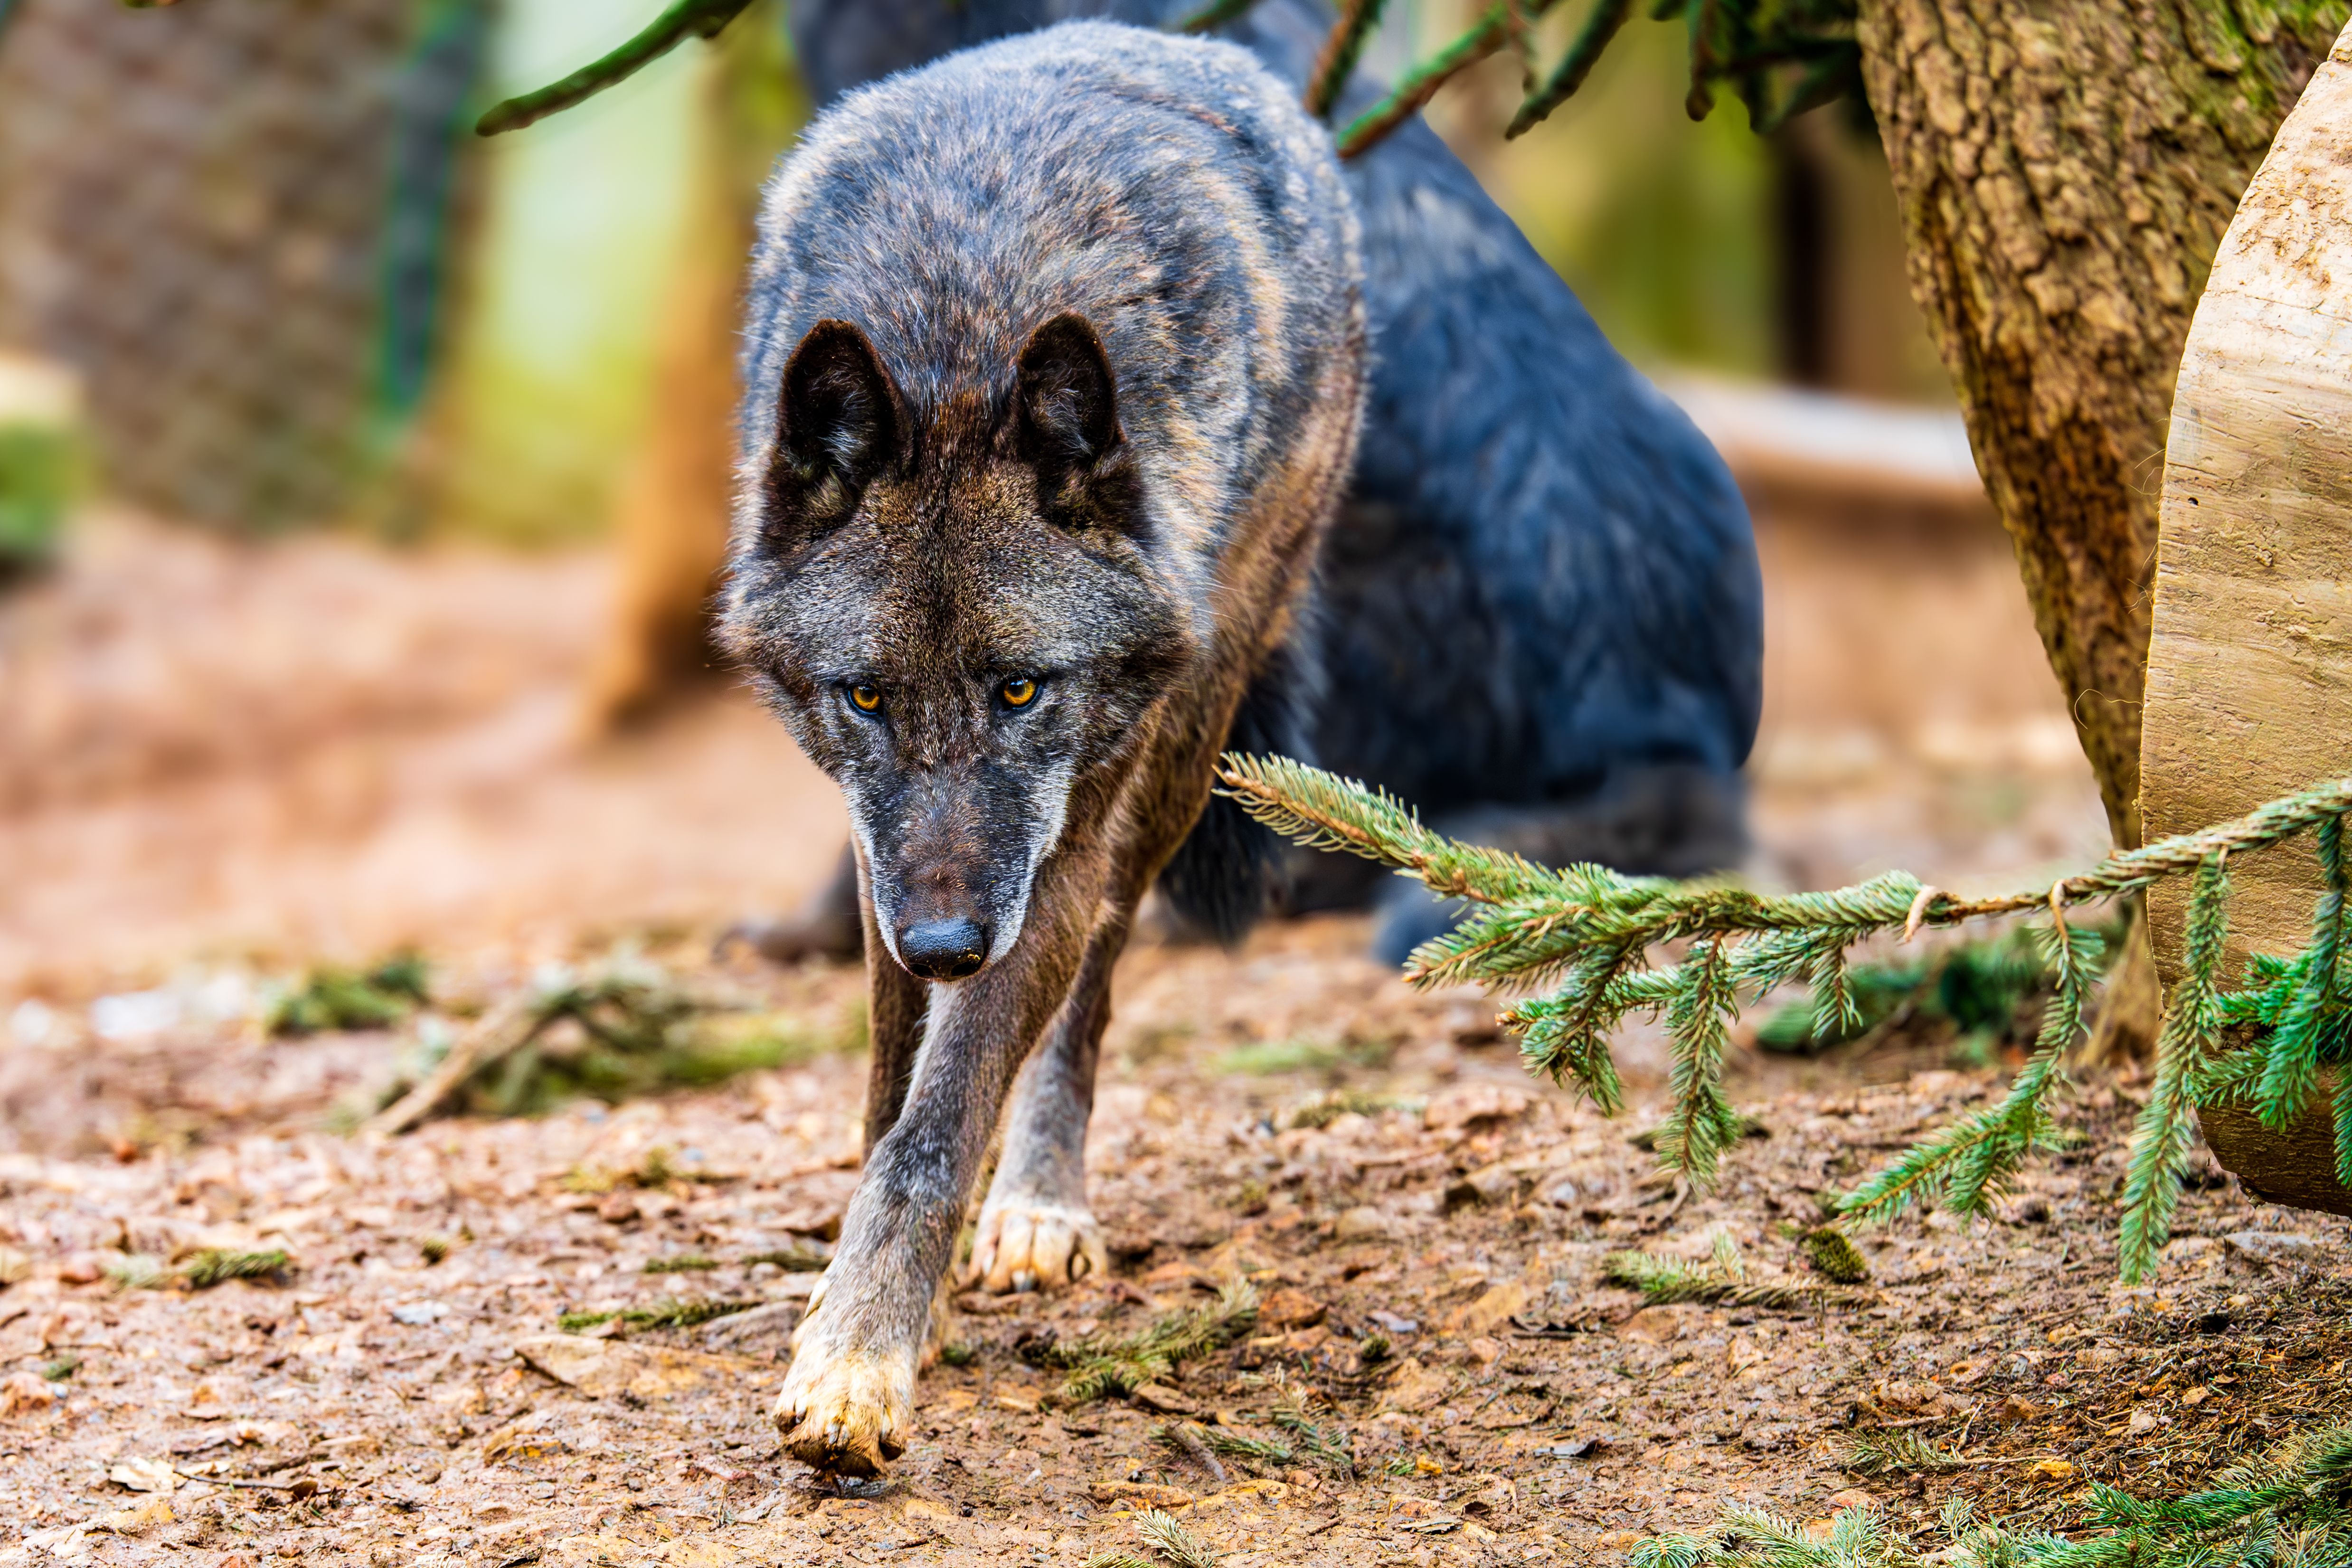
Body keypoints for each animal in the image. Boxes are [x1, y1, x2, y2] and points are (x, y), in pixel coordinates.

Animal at [722, 21, 1364, 1474]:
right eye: (866, 698)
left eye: (1022, 689)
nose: (953, 943)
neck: (963, 330)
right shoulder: (886, 864)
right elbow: (892, 1097)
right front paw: (881, 1308)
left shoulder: (1041, 868)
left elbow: (944, 1116)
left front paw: (860, 1360)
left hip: (1184, 743)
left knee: (1098, 980)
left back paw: (1039, 1201)